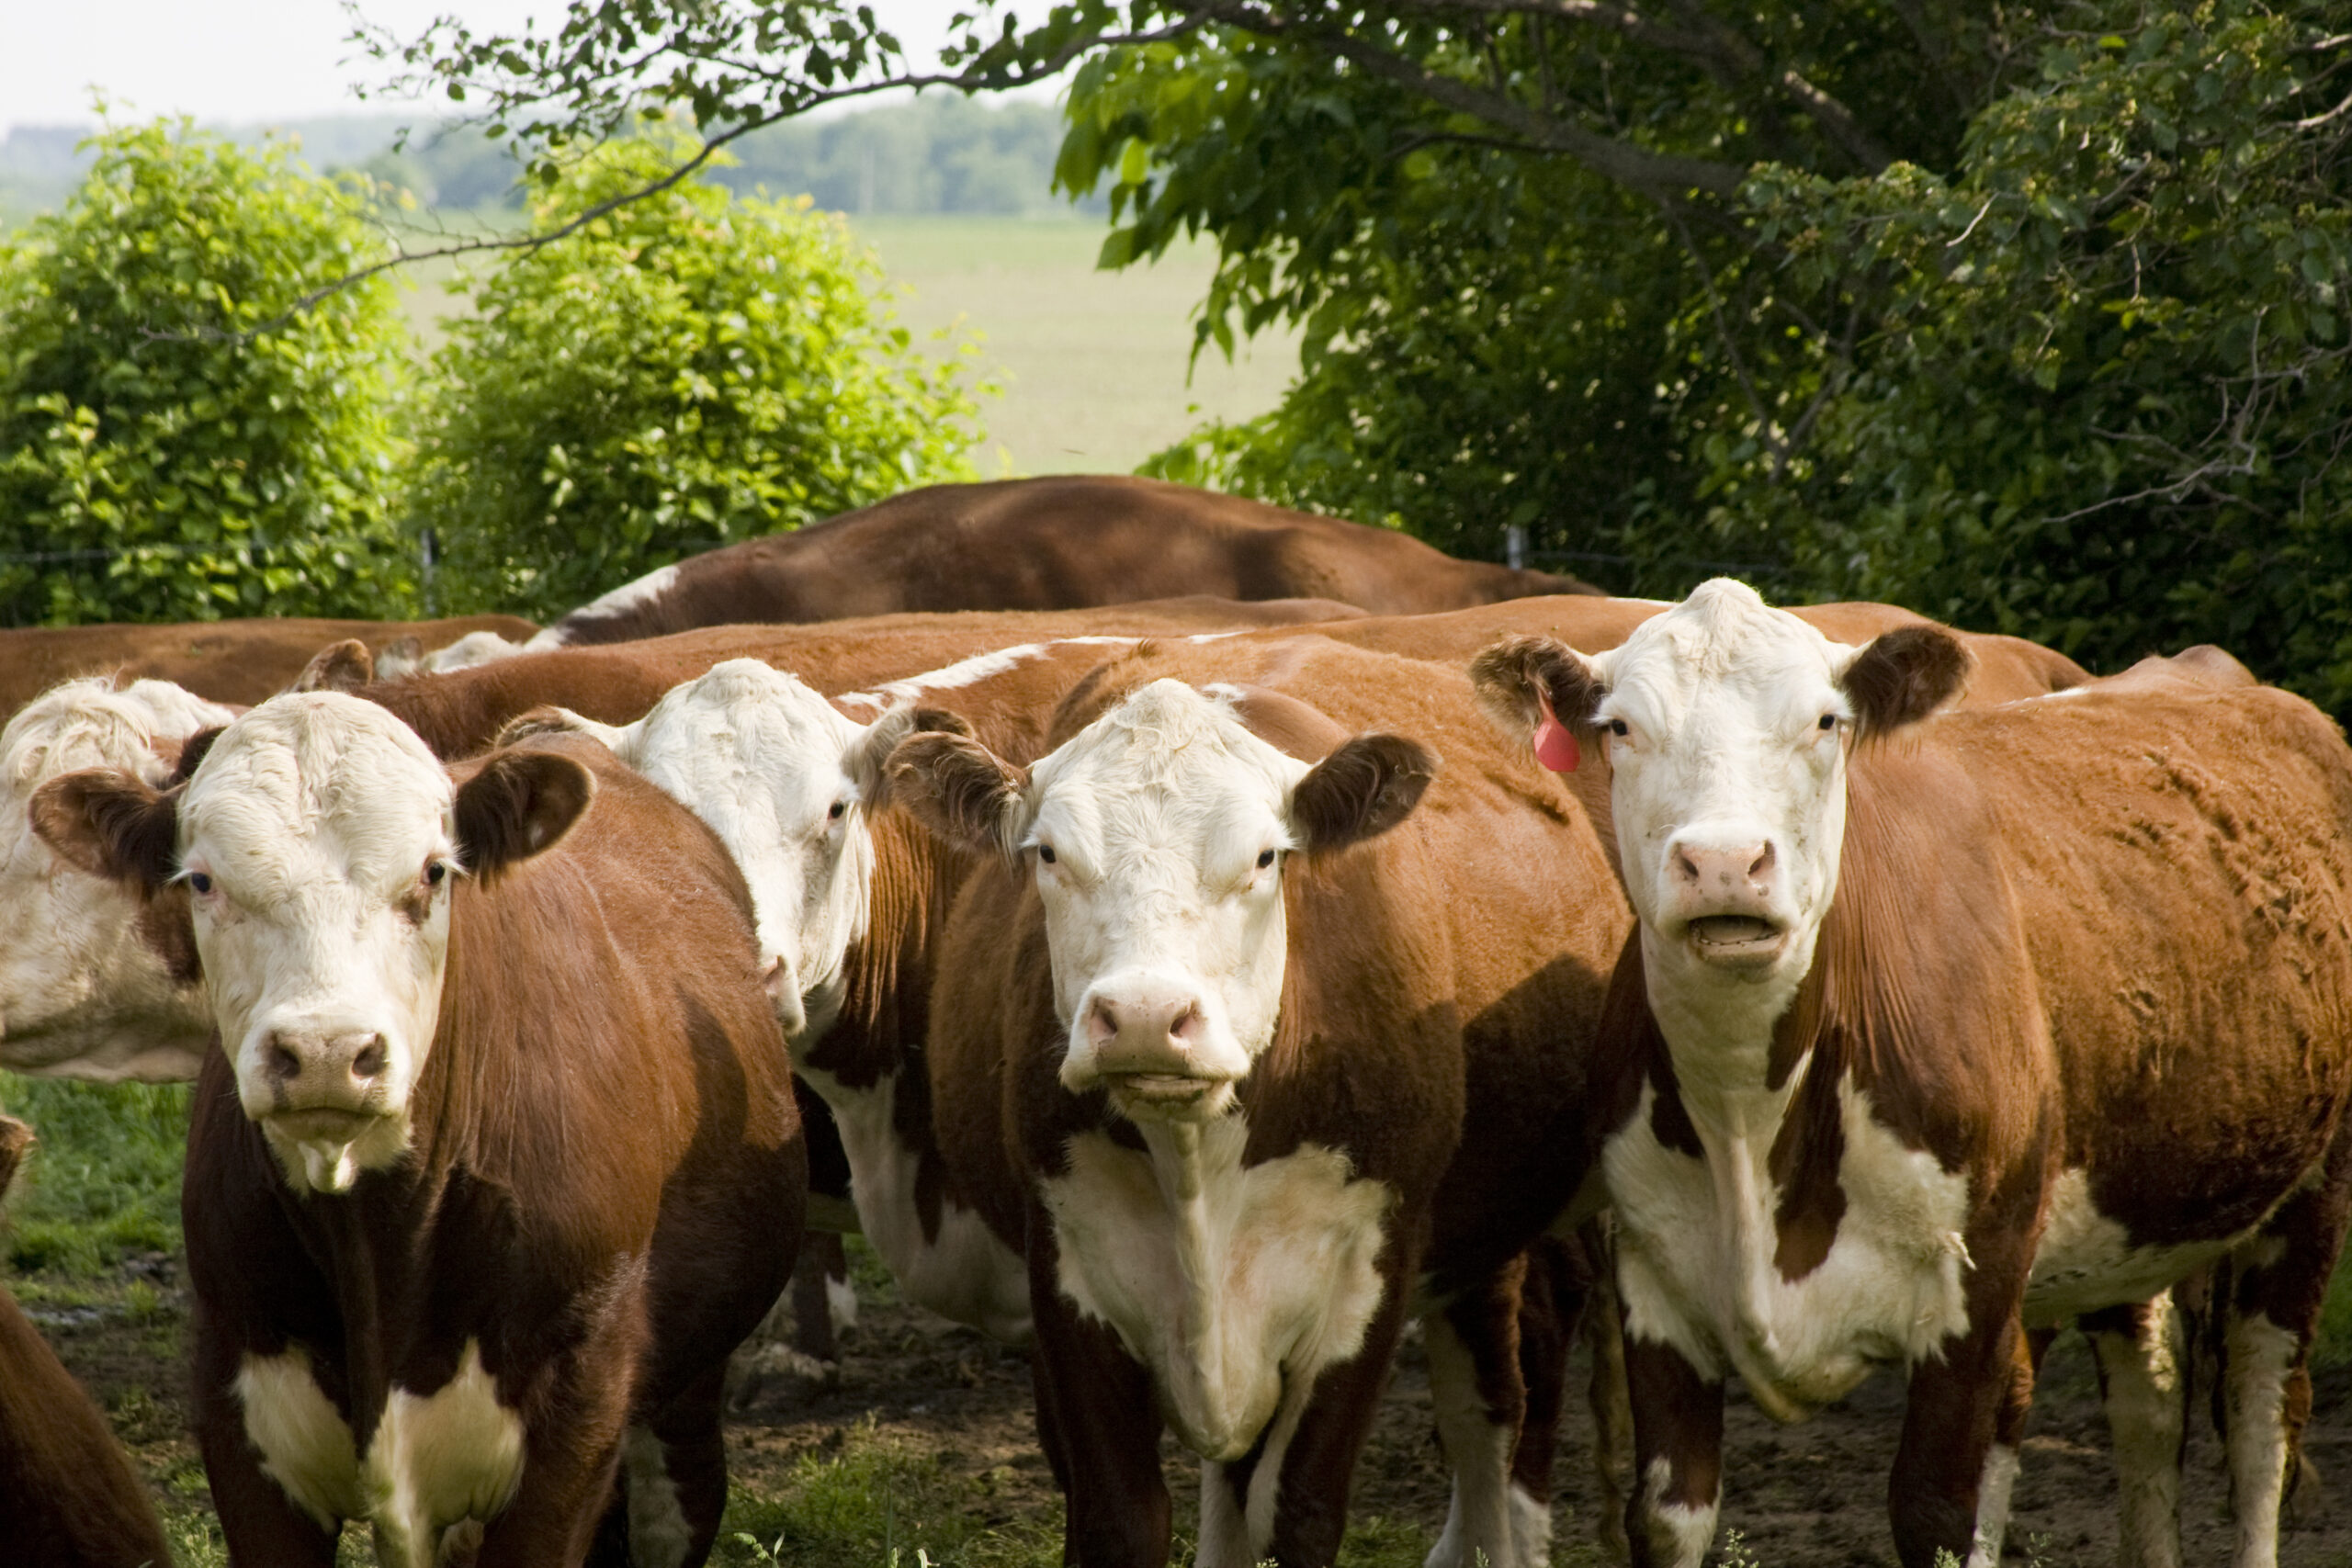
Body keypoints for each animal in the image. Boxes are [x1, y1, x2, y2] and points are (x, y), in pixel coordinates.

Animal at [31, 696, 805, 1567]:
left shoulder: (573, 1423)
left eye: (434, 872)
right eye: (201, 879)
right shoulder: (240, 1410)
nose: (326, 1052)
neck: (378, 1241)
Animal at [886, 637, 1635, 1568]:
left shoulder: (1370, 1274)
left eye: (1265, 857)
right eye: (1049, 853)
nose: (1144, 1015)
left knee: (1492, 1396)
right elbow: (1123, 1516)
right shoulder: (1064, 1268)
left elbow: (1298, 1508)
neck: (1194, 1158)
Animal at [1471, 578, 2352, 1568]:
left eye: (1825, 721)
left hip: (2312, 1187)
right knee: (2147, 1401)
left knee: (2260, 1419)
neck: (1748, 1119)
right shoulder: (1655, 1289)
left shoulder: (1976, 1290)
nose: (1724, 862)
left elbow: (1935, 1514)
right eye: (1621, 725)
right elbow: (1668, 1515)